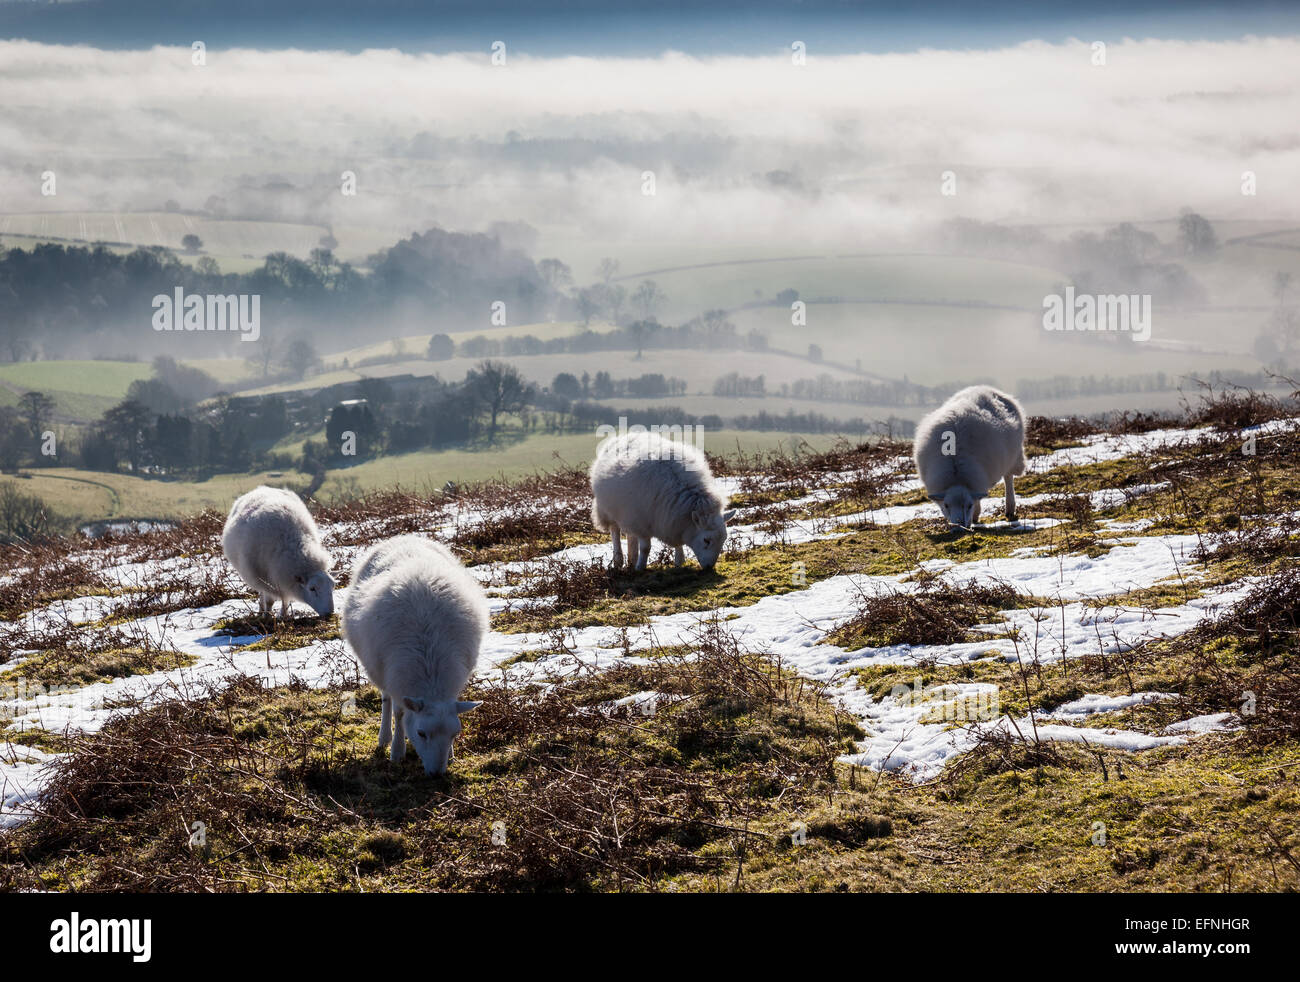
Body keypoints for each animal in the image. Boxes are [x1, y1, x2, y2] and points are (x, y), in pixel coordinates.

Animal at [221, 485, 335, 618]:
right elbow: (269, 601)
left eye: (333, 586)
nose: (330, 613)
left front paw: (284, 615)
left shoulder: (285, 579)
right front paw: (268, 617)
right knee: (261, 594)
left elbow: (285, 599)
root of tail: (262, 488)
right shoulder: (265, 578)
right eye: (312, 588)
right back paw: (262, 611)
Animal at [341, 535, 486, 775]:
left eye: (455, 734)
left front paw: (451, 754)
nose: (437, 774)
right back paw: (384, 737)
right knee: (386, 701)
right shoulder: (396, 678)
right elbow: (399, 714)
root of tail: (403, 536)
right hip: (378, 668)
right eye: (421, 733)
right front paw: (397, 751)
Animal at [589, 430, 735, 571]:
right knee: (615, 531)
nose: (709, 567)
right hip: (608, 510)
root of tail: (626, 435)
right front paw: (640, 568)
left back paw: (632, 559)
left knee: (631, 536)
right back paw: (619, 561)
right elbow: (645, 548)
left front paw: (679, 561)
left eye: (724, 539)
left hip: (627, 513)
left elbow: (678, 543)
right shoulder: (642, 521)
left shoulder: (671, 519)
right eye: (706, 540)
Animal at [913, 385, 1028, 530]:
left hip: (1013, 456)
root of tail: (985, 388)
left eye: (969, 505)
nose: (958, 527)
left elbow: (977, 499)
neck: (956, 475)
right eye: (946, 505)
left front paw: (975, 516)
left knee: (1008, 478)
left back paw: (1010, 508)